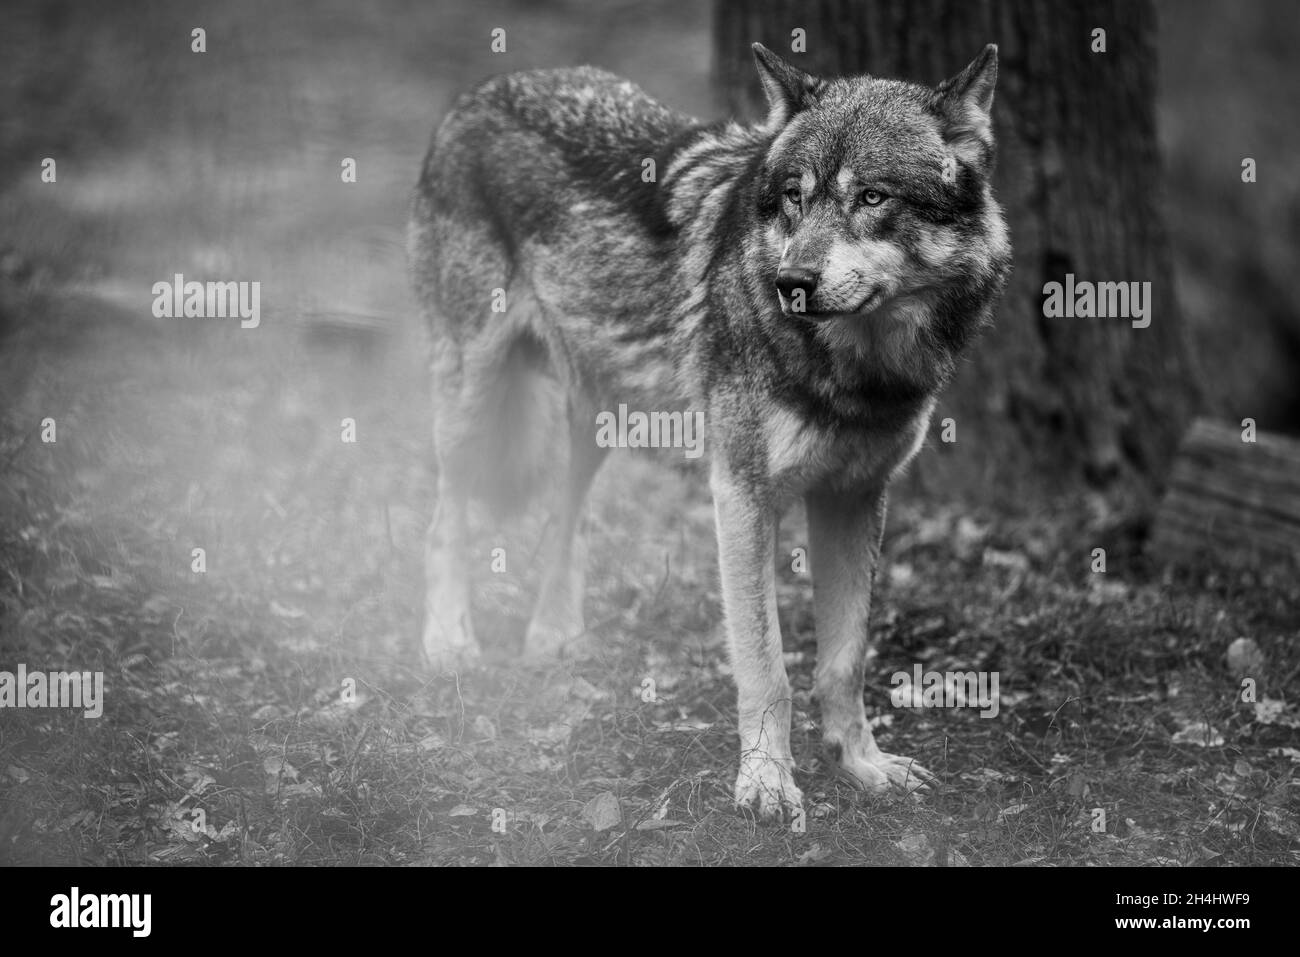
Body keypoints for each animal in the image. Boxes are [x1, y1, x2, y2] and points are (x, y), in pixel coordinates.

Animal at [408, 43, 1011, 818]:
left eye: (872, 198)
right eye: (794, 197)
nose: (792, 283)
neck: (857, 370)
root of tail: (480, 91)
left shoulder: (855, 494)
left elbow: (844, 661)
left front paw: (863, 765)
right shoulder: (741, 493)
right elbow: (766, 667)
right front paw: (766, 783)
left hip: (598, 419)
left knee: (567, 519)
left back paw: (554, 636)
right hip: (472, 401)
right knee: (442, 521)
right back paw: (450, 643)